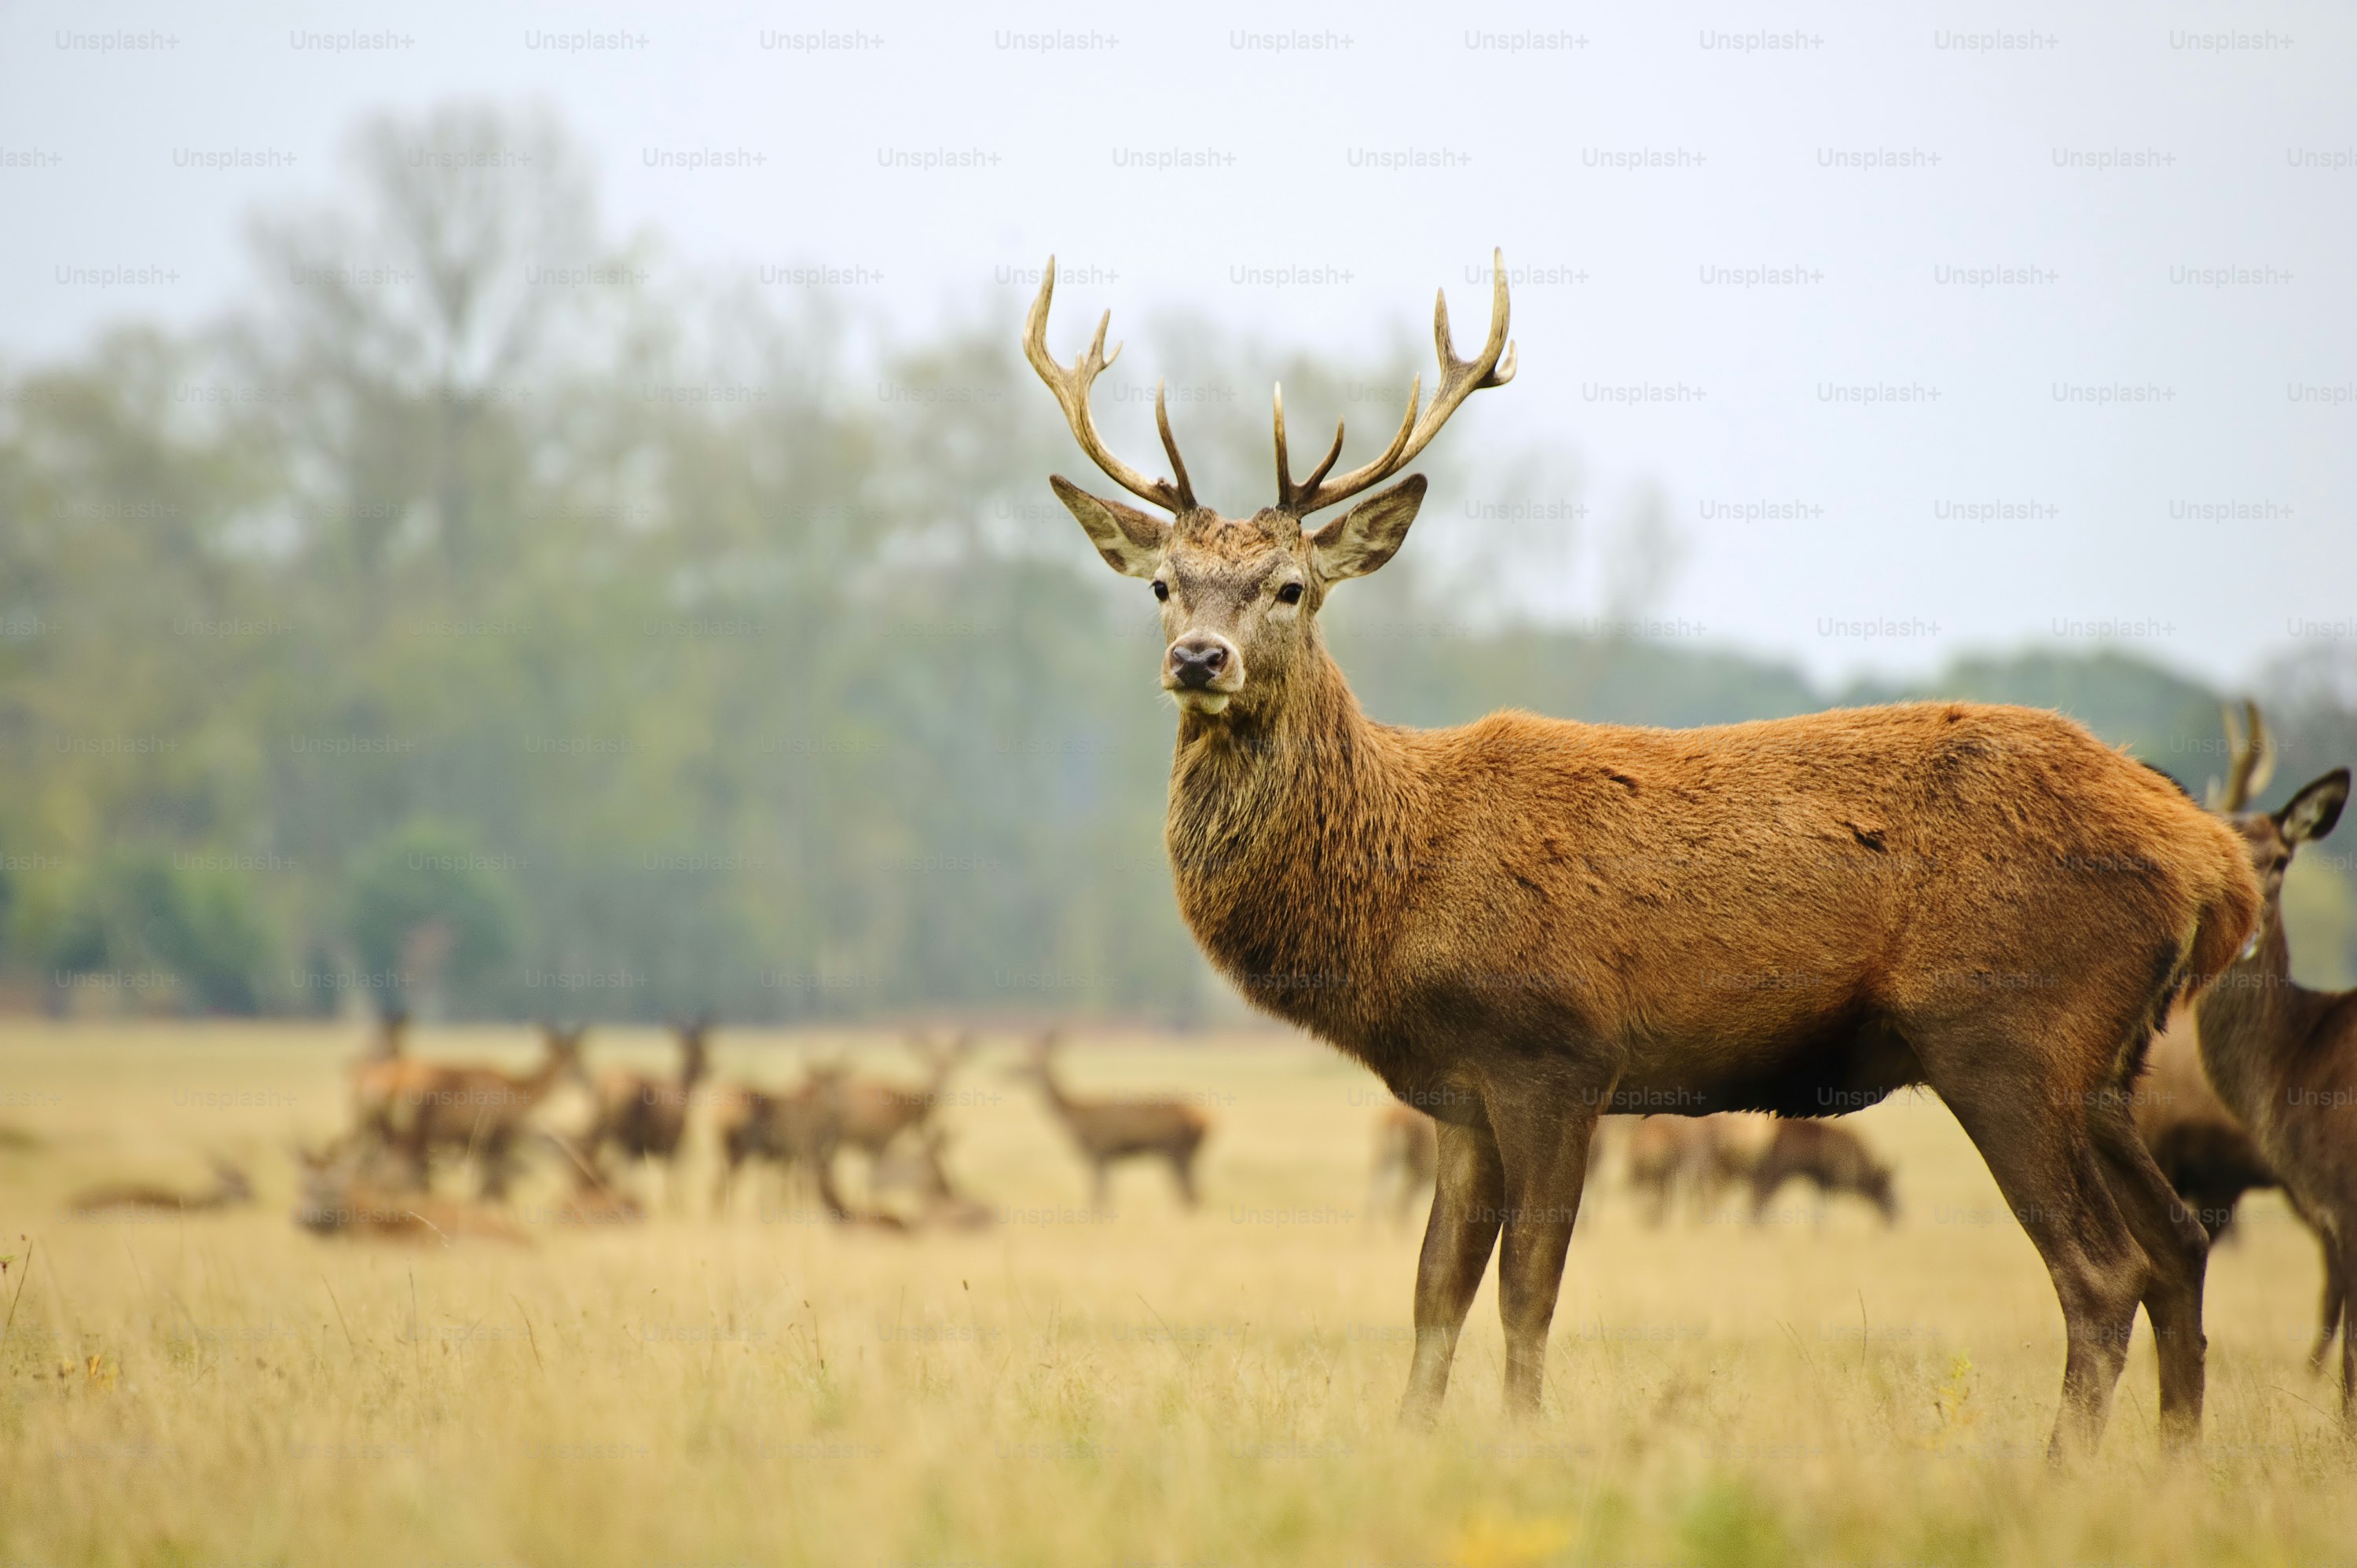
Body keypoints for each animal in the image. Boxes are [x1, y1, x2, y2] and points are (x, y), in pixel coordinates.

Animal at [578, 1015, 713, 1210]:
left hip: (596, 1128)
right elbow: (669, 1174)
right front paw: (671, 1205)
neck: (682, 1088)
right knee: (622, 1167)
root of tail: (608, 1086)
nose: (710, 1068)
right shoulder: (670, 1145)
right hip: (627, 1136)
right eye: (699, 1049)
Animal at [1010, 1033, 1210, 1210]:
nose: (1007, 1073)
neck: (1074, 1117)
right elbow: (1104, 1193)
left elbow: (1099, 1194)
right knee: (1192, 1192)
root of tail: (1206, 1121)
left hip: (1177, 1151)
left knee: (1190, 1194)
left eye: (1026, 1067)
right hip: (1185, 1154)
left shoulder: (1098, 1152)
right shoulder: (1102, 1157)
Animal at [1747, 1121, 1897, 1225]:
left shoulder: (1820, 1182)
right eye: (1887, 1192)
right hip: (1776, 1171)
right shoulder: (1825, 1180)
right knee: (1760, 1195)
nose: (1896, 1218)